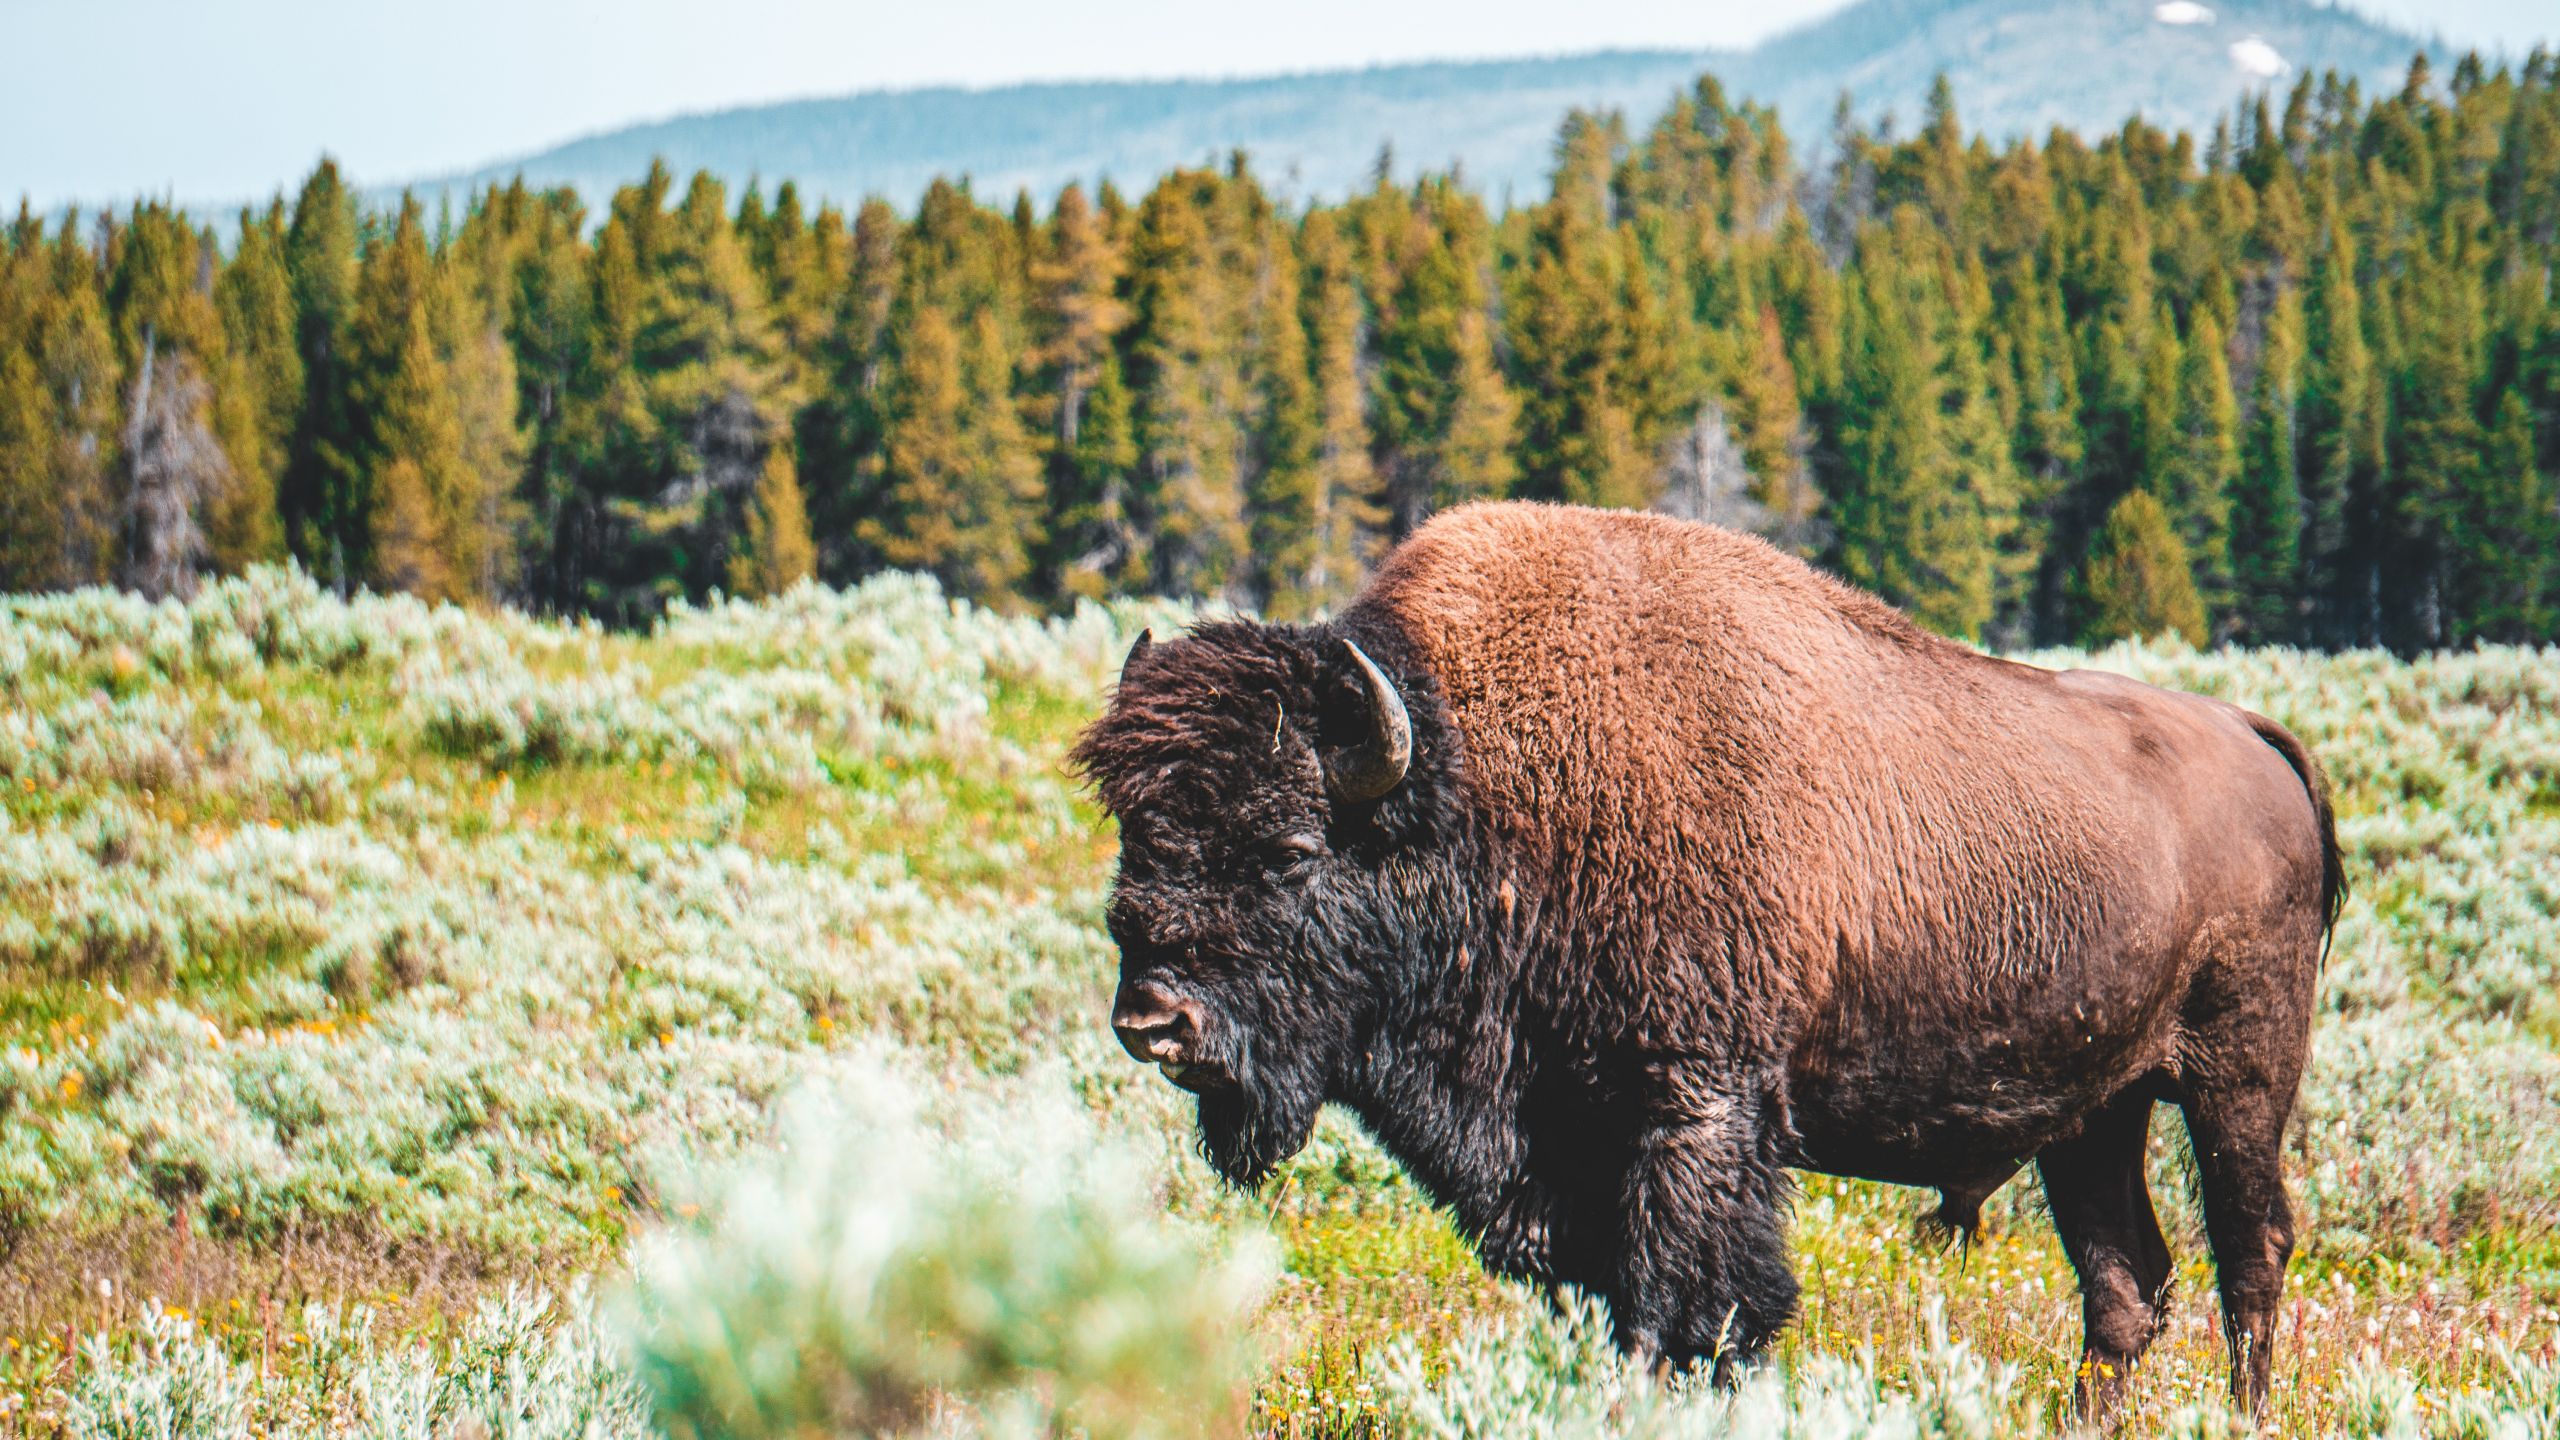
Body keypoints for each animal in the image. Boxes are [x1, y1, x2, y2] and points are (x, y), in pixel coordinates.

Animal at [1073, 502, 2341, 1413]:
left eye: (1289, 849)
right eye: (1136, 832)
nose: (1154, 1023)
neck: (1480, 789)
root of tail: (2254, 735)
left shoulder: (1693, 1112)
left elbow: (1698, 1311)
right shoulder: (1564, 1161)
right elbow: (1613, 1309)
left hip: (2236, 1075)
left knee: (2250, 1249)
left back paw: (2245, 1415)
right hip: (2094, 1110)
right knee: (2125, 1285)